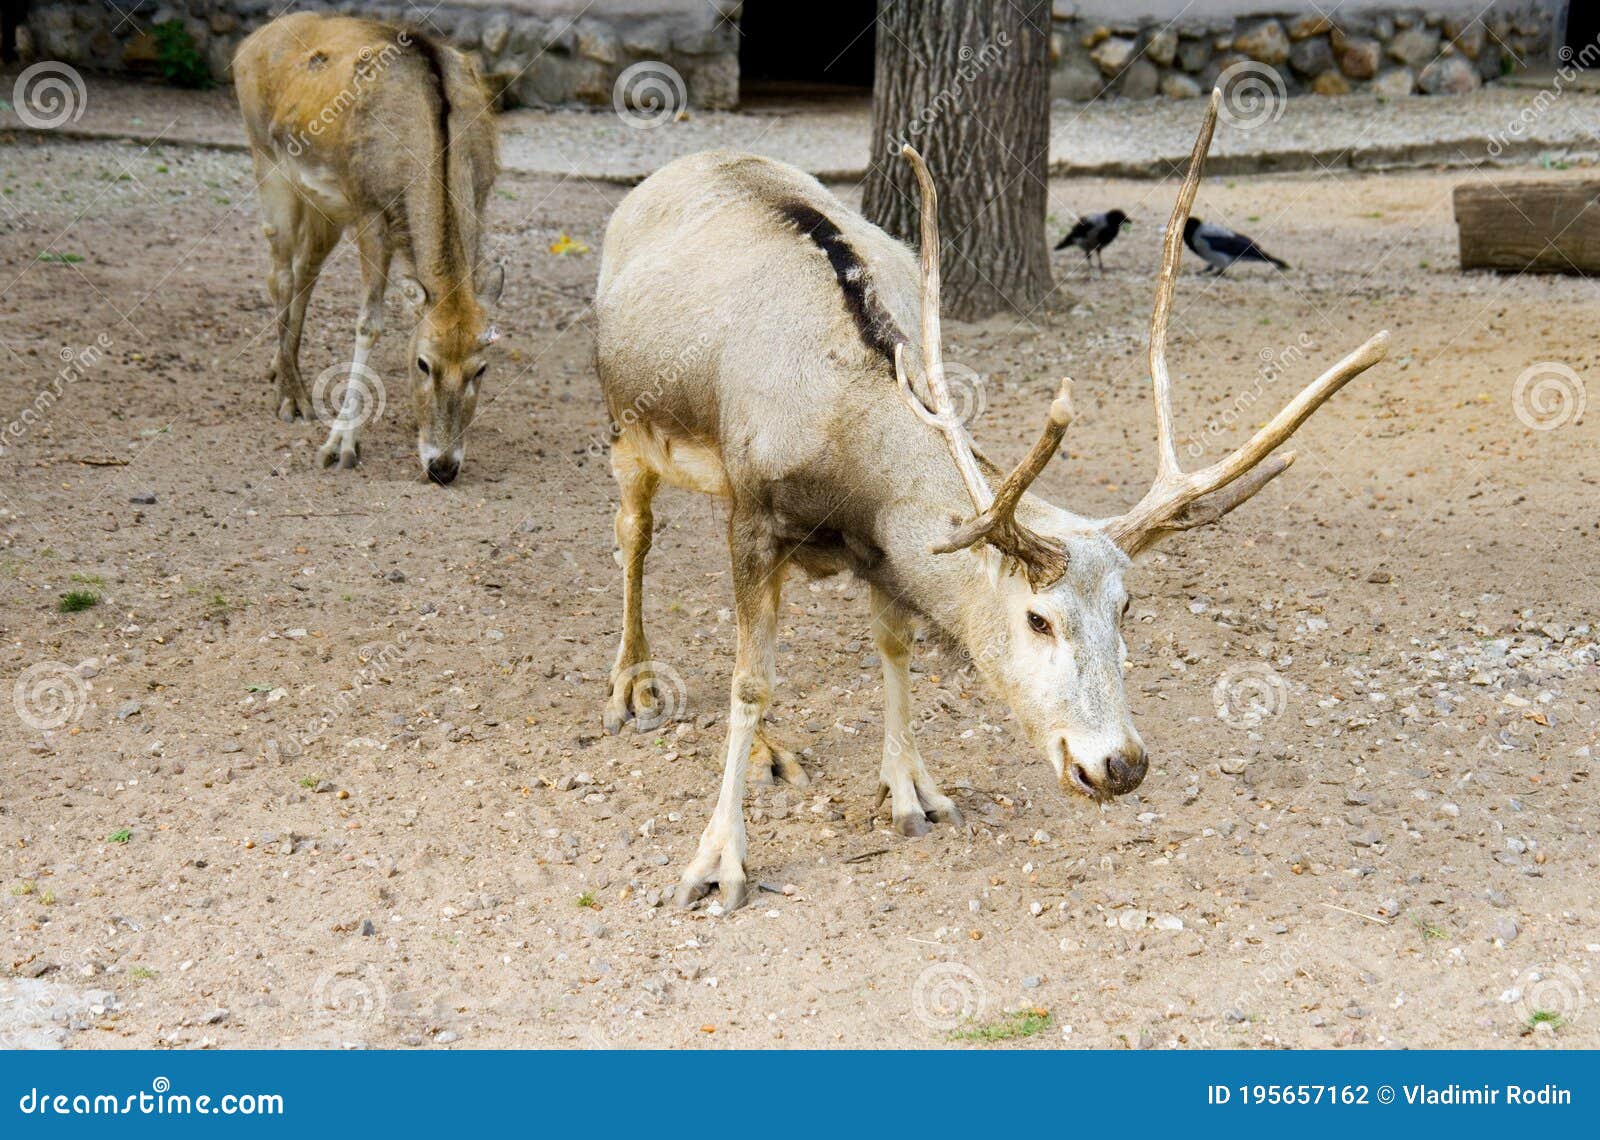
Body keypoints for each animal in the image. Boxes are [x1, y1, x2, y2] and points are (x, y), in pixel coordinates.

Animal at [234, 11, 504, 485]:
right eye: (423, 363)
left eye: (481, 367)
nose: (443, 467)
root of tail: (249, 43)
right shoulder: (368, 210)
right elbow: (368, 323)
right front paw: (339, 446)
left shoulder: (483, 193)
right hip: (265, 158)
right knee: (278, 272)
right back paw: (291, 396)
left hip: (323, 206)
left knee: (305, 270)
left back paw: (280, 368)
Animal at [593, 91, 1388, 911]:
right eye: (1037, 618)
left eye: (1127, 607)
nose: (1121, 765)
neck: (843, 452)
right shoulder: (752, 515)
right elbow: (749, 680)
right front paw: (718, 862)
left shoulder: (880, 548)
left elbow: (894, 644)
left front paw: (912, 792)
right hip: (626, 422)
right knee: (635, 532)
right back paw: (633, 687)